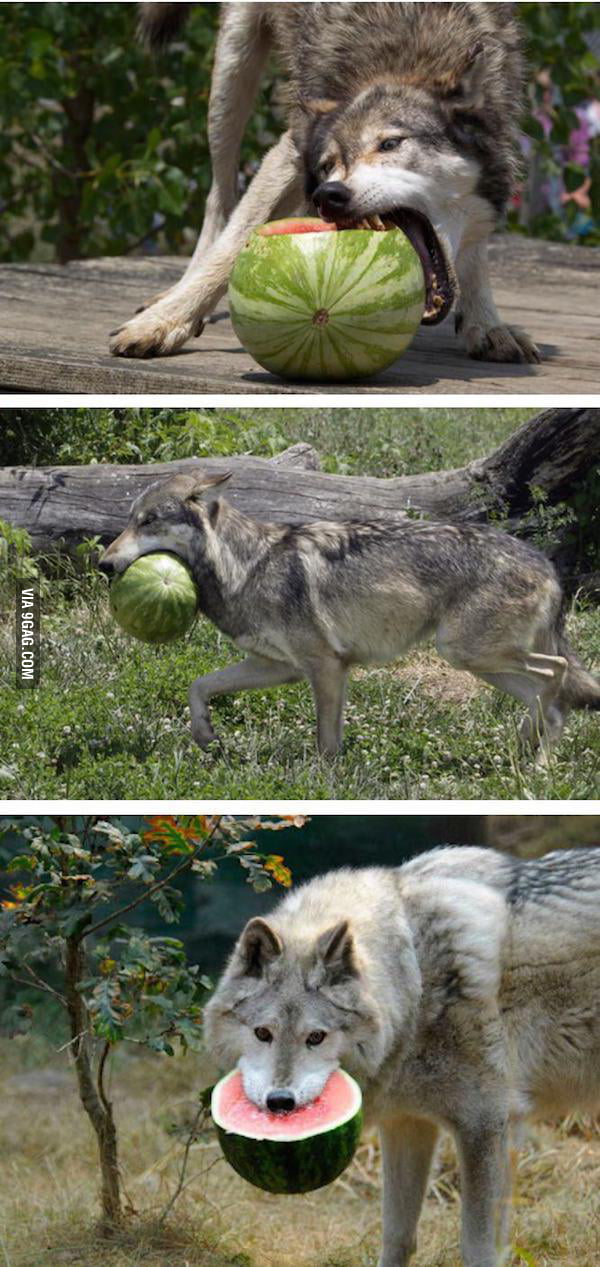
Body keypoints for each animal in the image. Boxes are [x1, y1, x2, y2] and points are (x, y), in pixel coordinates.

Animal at [98, 469, 600, 762]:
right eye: (129, 520)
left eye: (148, 522)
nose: (103, 564)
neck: (247, 565)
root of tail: (545, 564)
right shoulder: (278, 667)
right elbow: (198, 685)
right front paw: (204, 736)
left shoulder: (325, 667)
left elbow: (326, 744)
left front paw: (325, 784)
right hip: (477, 662)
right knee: (552, 705)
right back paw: (529, 755)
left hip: (469, 653)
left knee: (555, 675)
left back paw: (536, 761)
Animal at [109, 2, 540, 365]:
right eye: (329, 164)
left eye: (390, 144)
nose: (329, 194)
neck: (406, 56)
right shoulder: (291, 149)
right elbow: (234, 242)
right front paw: (163, 323)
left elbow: (475, 251)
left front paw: (486, 324)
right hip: (233, 72)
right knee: (220, 198)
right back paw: (175, 295)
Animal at [204, 845, 600, 1267]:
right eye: (263, 1033)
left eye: (316, 1037)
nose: (280, 1103)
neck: (416, 980)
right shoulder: (407, 1123)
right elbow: (397, 1236)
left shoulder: (486, 1125)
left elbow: (478, 1247)